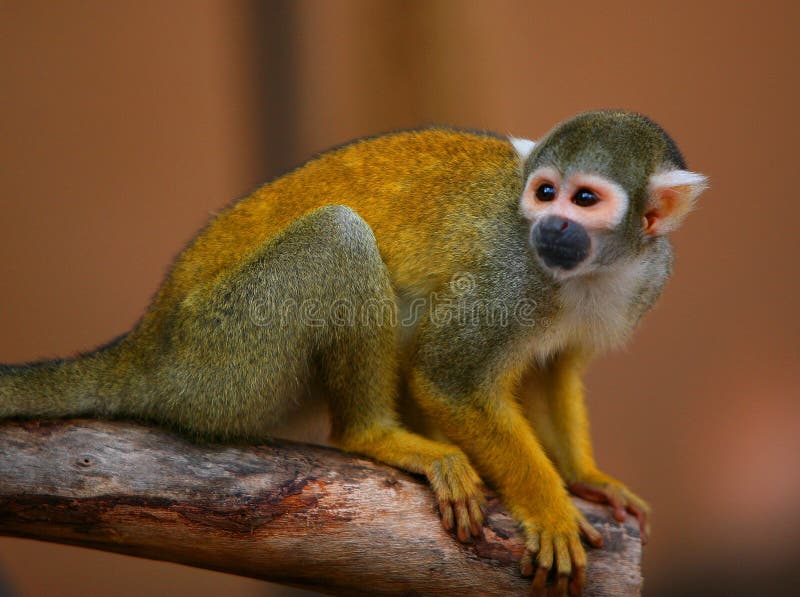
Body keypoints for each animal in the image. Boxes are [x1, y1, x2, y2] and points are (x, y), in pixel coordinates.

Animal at [0, 110, 706, 596]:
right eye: (543, 193)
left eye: (583, 200)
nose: (551, 225)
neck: (587, 272)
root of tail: (146, 344)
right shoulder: (511, 276)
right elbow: (447, 377)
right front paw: (550, 508)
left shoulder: (647, 278)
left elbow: (554, 367)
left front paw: (585, 477)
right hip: (222, 358)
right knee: (339, 236)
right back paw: (376, 436)